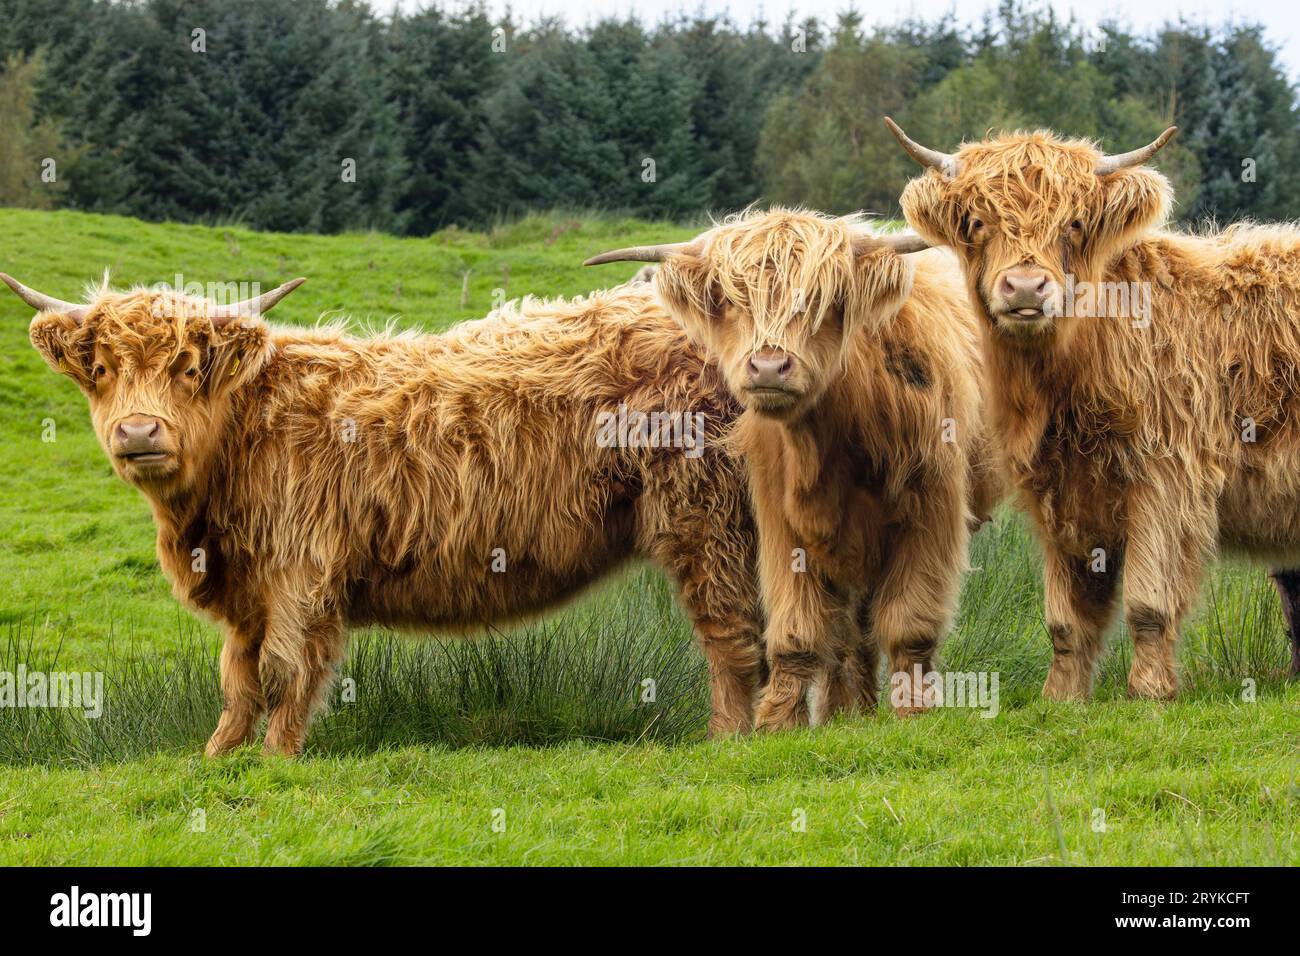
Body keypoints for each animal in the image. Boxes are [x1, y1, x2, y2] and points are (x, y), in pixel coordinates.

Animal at [2, 273, 766, 754]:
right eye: (102, 371)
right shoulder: (250, 587)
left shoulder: (303, 572)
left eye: (190, 370)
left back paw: (730, 739)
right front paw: (217, 756)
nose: (139, 432)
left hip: (705, 518)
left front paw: (275, 759)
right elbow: (237, 678)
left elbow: (283, 672)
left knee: (729, 630)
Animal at [585, 209, 1000, 729]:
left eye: (826, 300)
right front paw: (778, 724)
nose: (767, 367)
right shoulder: (781, 521)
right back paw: (846, 712)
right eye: (732, 301)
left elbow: (910, 627)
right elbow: (796, 631)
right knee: (849, 631)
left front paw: (914, 713)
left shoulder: (933, 510)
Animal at [886, 117, 1300, 697]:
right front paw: (1062, 696)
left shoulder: (1168, 482)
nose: (1026, 287)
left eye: (1075, 223)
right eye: (978, 222)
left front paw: (1149, 691)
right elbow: (1067, 618)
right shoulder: (1062, 490)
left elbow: (1148, 604)